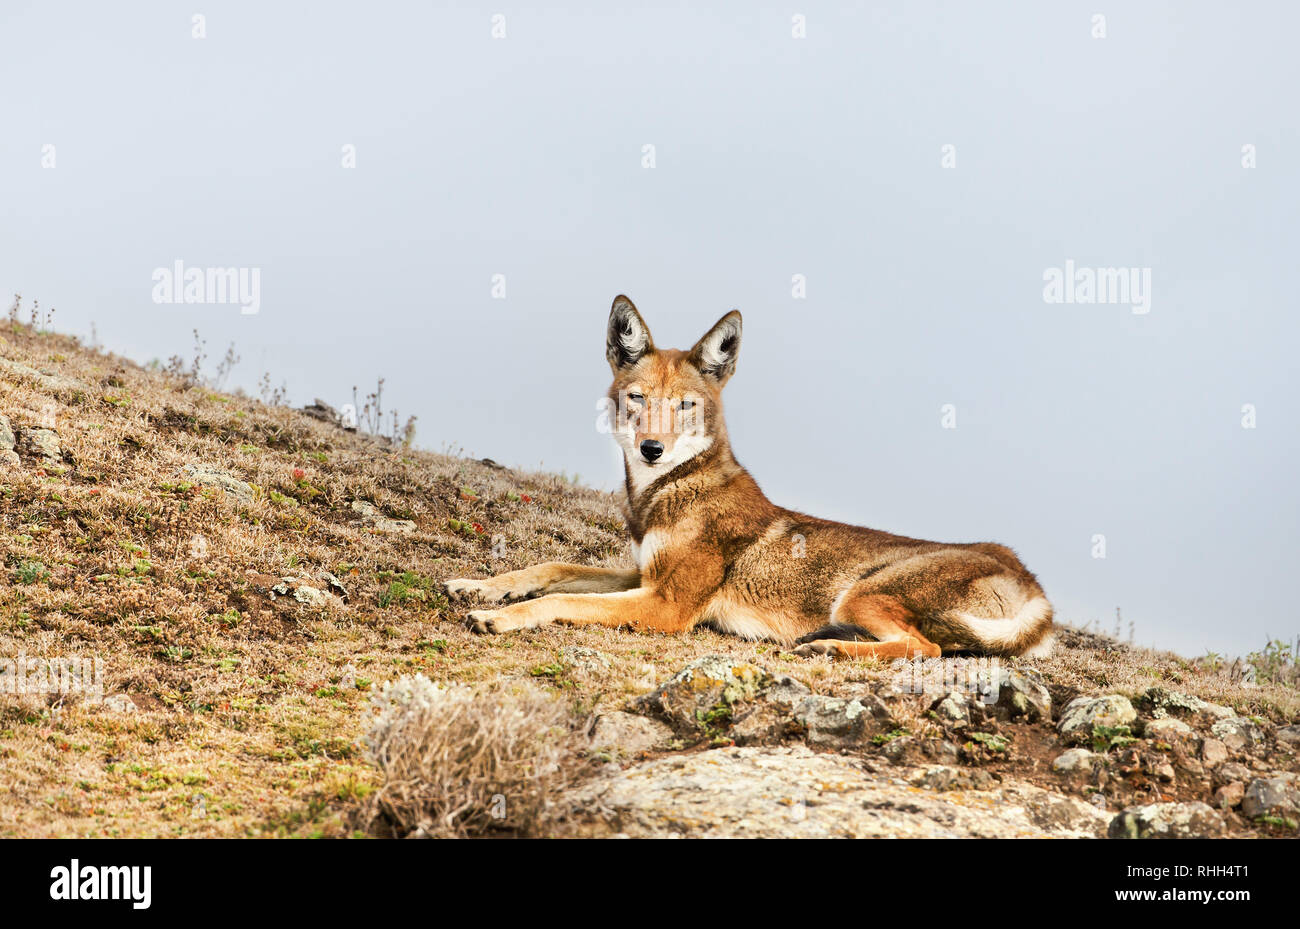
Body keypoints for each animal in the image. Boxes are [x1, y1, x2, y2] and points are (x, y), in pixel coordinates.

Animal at [445, 296, 1054, 659]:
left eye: (685, 406)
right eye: (638, 399)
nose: (651, 449)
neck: (667, 495)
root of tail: (1031, 581)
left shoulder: (666, 606)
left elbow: (563, 601)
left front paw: (496, 616)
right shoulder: (643, 576)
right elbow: (553, 569)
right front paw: (477, 586)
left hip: (859, 596)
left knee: (926, 649)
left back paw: (829, 650)